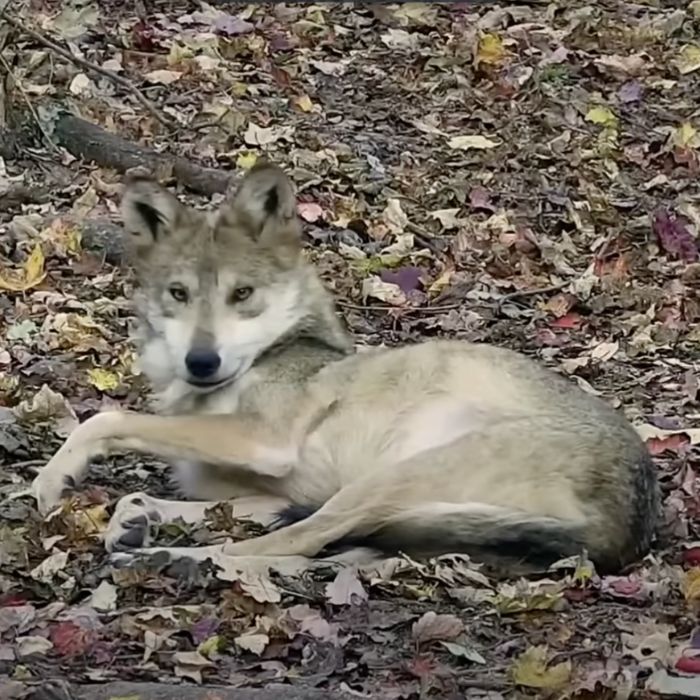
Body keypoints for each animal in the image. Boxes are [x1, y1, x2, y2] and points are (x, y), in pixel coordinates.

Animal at [31, 161, 660, 577]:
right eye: (179, 294)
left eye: (242, 294)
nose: (201, 361)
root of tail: (633, 522)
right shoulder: (274, 488)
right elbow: (165, 496)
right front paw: (133, 515)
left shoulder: (266, 442)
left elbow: (106, 419)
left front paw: (51, 480)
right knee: (316, 550)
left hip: (395, 476)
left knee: (281, 548)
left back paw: (173, 559)